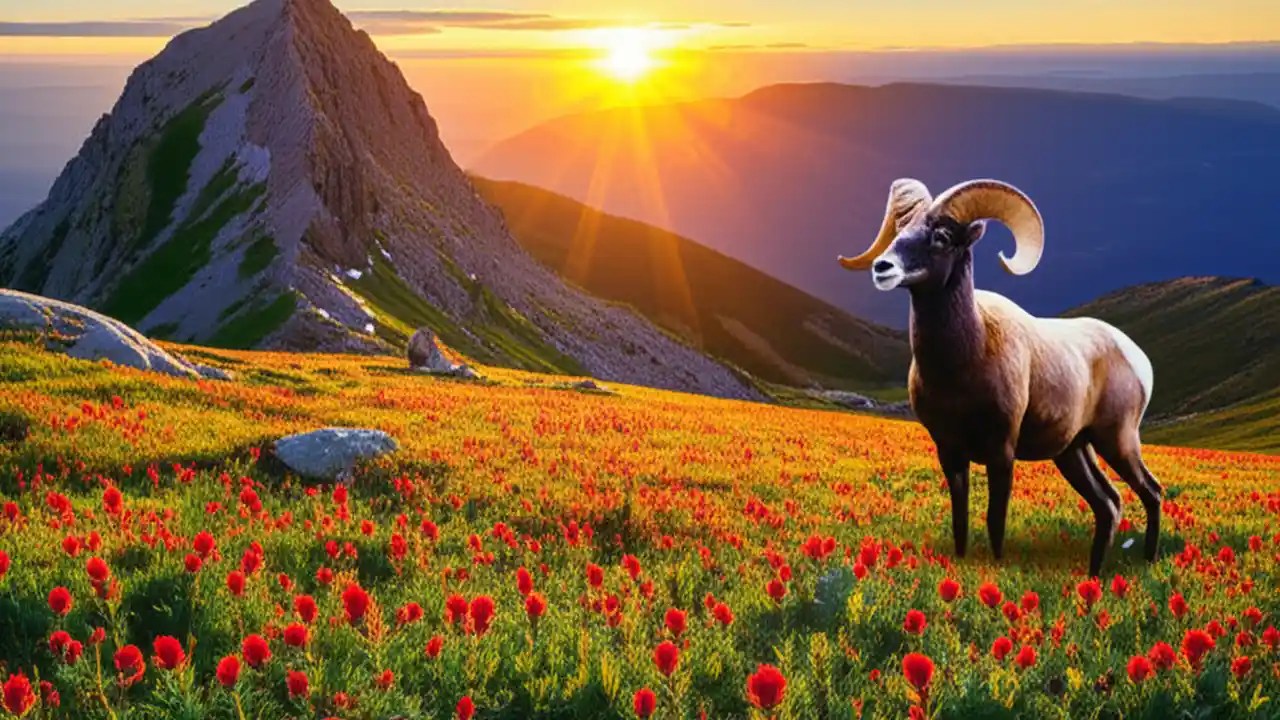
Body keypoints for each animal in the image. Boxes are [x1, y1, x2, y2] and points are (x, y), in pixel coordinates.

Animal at [837, 178, 1162, 577]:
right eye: (900, 230)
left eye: (942, 237)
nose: (883, 268)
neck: (961, 367)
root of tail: (1138, 359)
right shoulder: (950, 452)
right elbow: (960, 522)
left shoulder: (1001, 451)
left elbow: (995, 521)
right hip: (1074, 452)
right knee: (1110, 504)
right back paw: (1094, 576)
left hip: (1117, 441)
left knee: (1150, 491)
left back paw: (1146, 562)